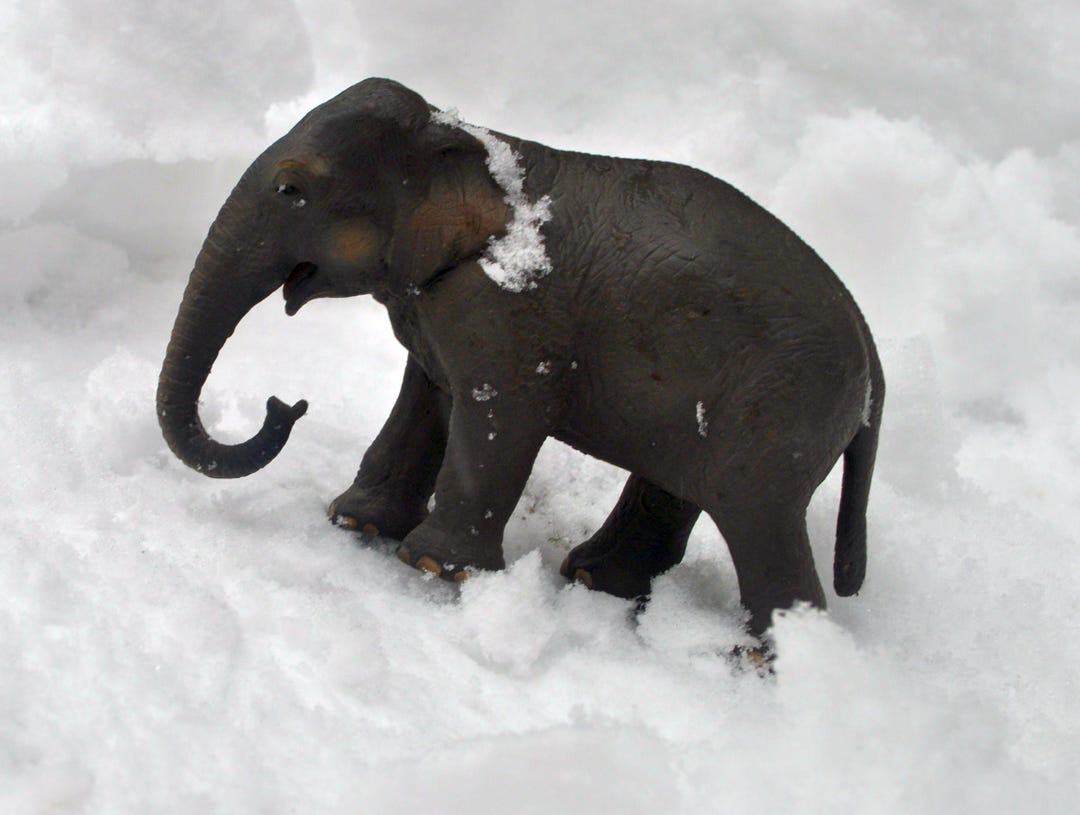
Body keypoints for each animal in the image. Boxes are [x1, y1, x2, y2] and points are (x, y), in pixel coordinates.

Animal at [157, 78, 884, 637]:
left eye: (291, 190)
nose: (287, 404)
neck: (472, 139)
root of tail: (875, 368)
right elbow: (427, 397)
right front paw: (353, 520)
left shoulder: (507, 316)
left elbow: (495, 417)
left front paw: (432, 567)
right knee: (682, 484)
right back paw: (595, 579)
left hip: (777, 421)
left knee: (757, 520)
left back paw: (765, 661)